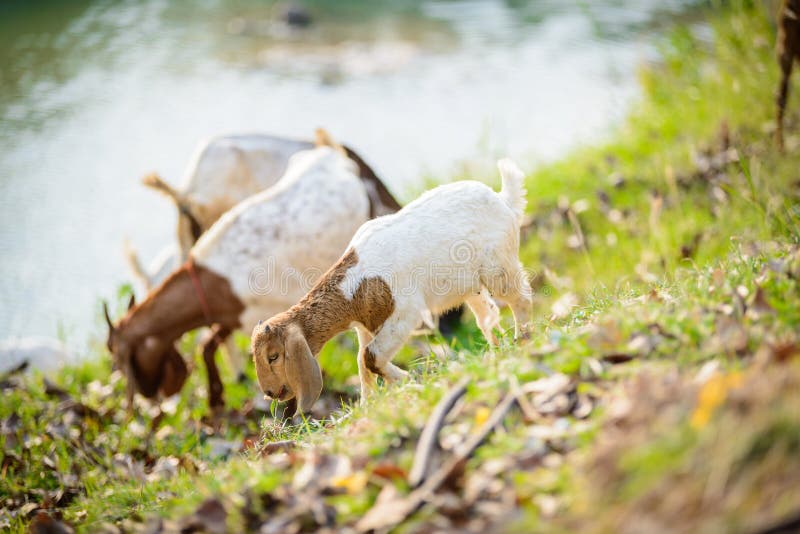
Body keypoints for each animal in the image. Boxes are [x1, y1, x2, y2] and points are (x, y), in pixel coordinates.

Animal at [105, 146, 381, 410]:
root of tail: (332, 154)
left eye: (118, 356)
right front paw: (216, 397)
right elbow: (208, 345)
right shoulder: (238, 314)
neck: (217, 278)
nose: (148, 397)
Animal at [251, 159, 533, 415]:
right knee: (487, 316)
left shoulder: (404, 314)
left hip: (499, 267)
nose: (270, 393)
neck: (354, 285)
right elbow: (361, 361)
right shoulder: (365, 326)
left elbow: (371, 357)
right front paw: (368, 404)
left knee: (521, 298)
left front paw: (407, 381)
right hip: (471, 286)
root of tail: (503, 200)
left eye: (273, 356)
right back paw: (497, 350)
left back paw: (522, 339)